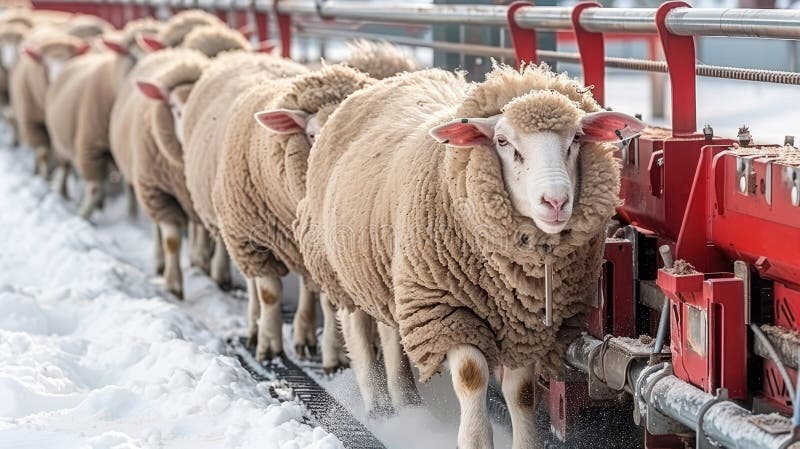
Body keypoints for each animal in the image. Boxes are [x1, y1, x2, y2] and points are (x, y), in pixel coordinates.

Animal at [45, 18, 163, 209]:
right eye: (133, 57)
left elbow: (131, 191)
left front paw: (131, 214)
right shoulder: (89, 148)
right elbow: (94, 189)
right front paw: (83, 213)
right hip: (60, 141)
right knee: (65, 169)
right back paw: (64, 194)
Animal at [295, 63, 643, 448]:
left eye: (578, 138)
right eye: (503, 141)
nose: (555, 201)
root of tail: (391, 80)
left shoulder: (524, 325)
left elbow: (522, 393)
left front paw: (526, 441)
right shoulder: (446, 310)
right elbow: (471, 375)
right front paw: (474, 439)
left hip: (384, 274)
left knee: (389, 329)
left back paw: (407, 402)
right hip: (340, 267)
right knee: (356, 325)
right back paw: (378, 406)